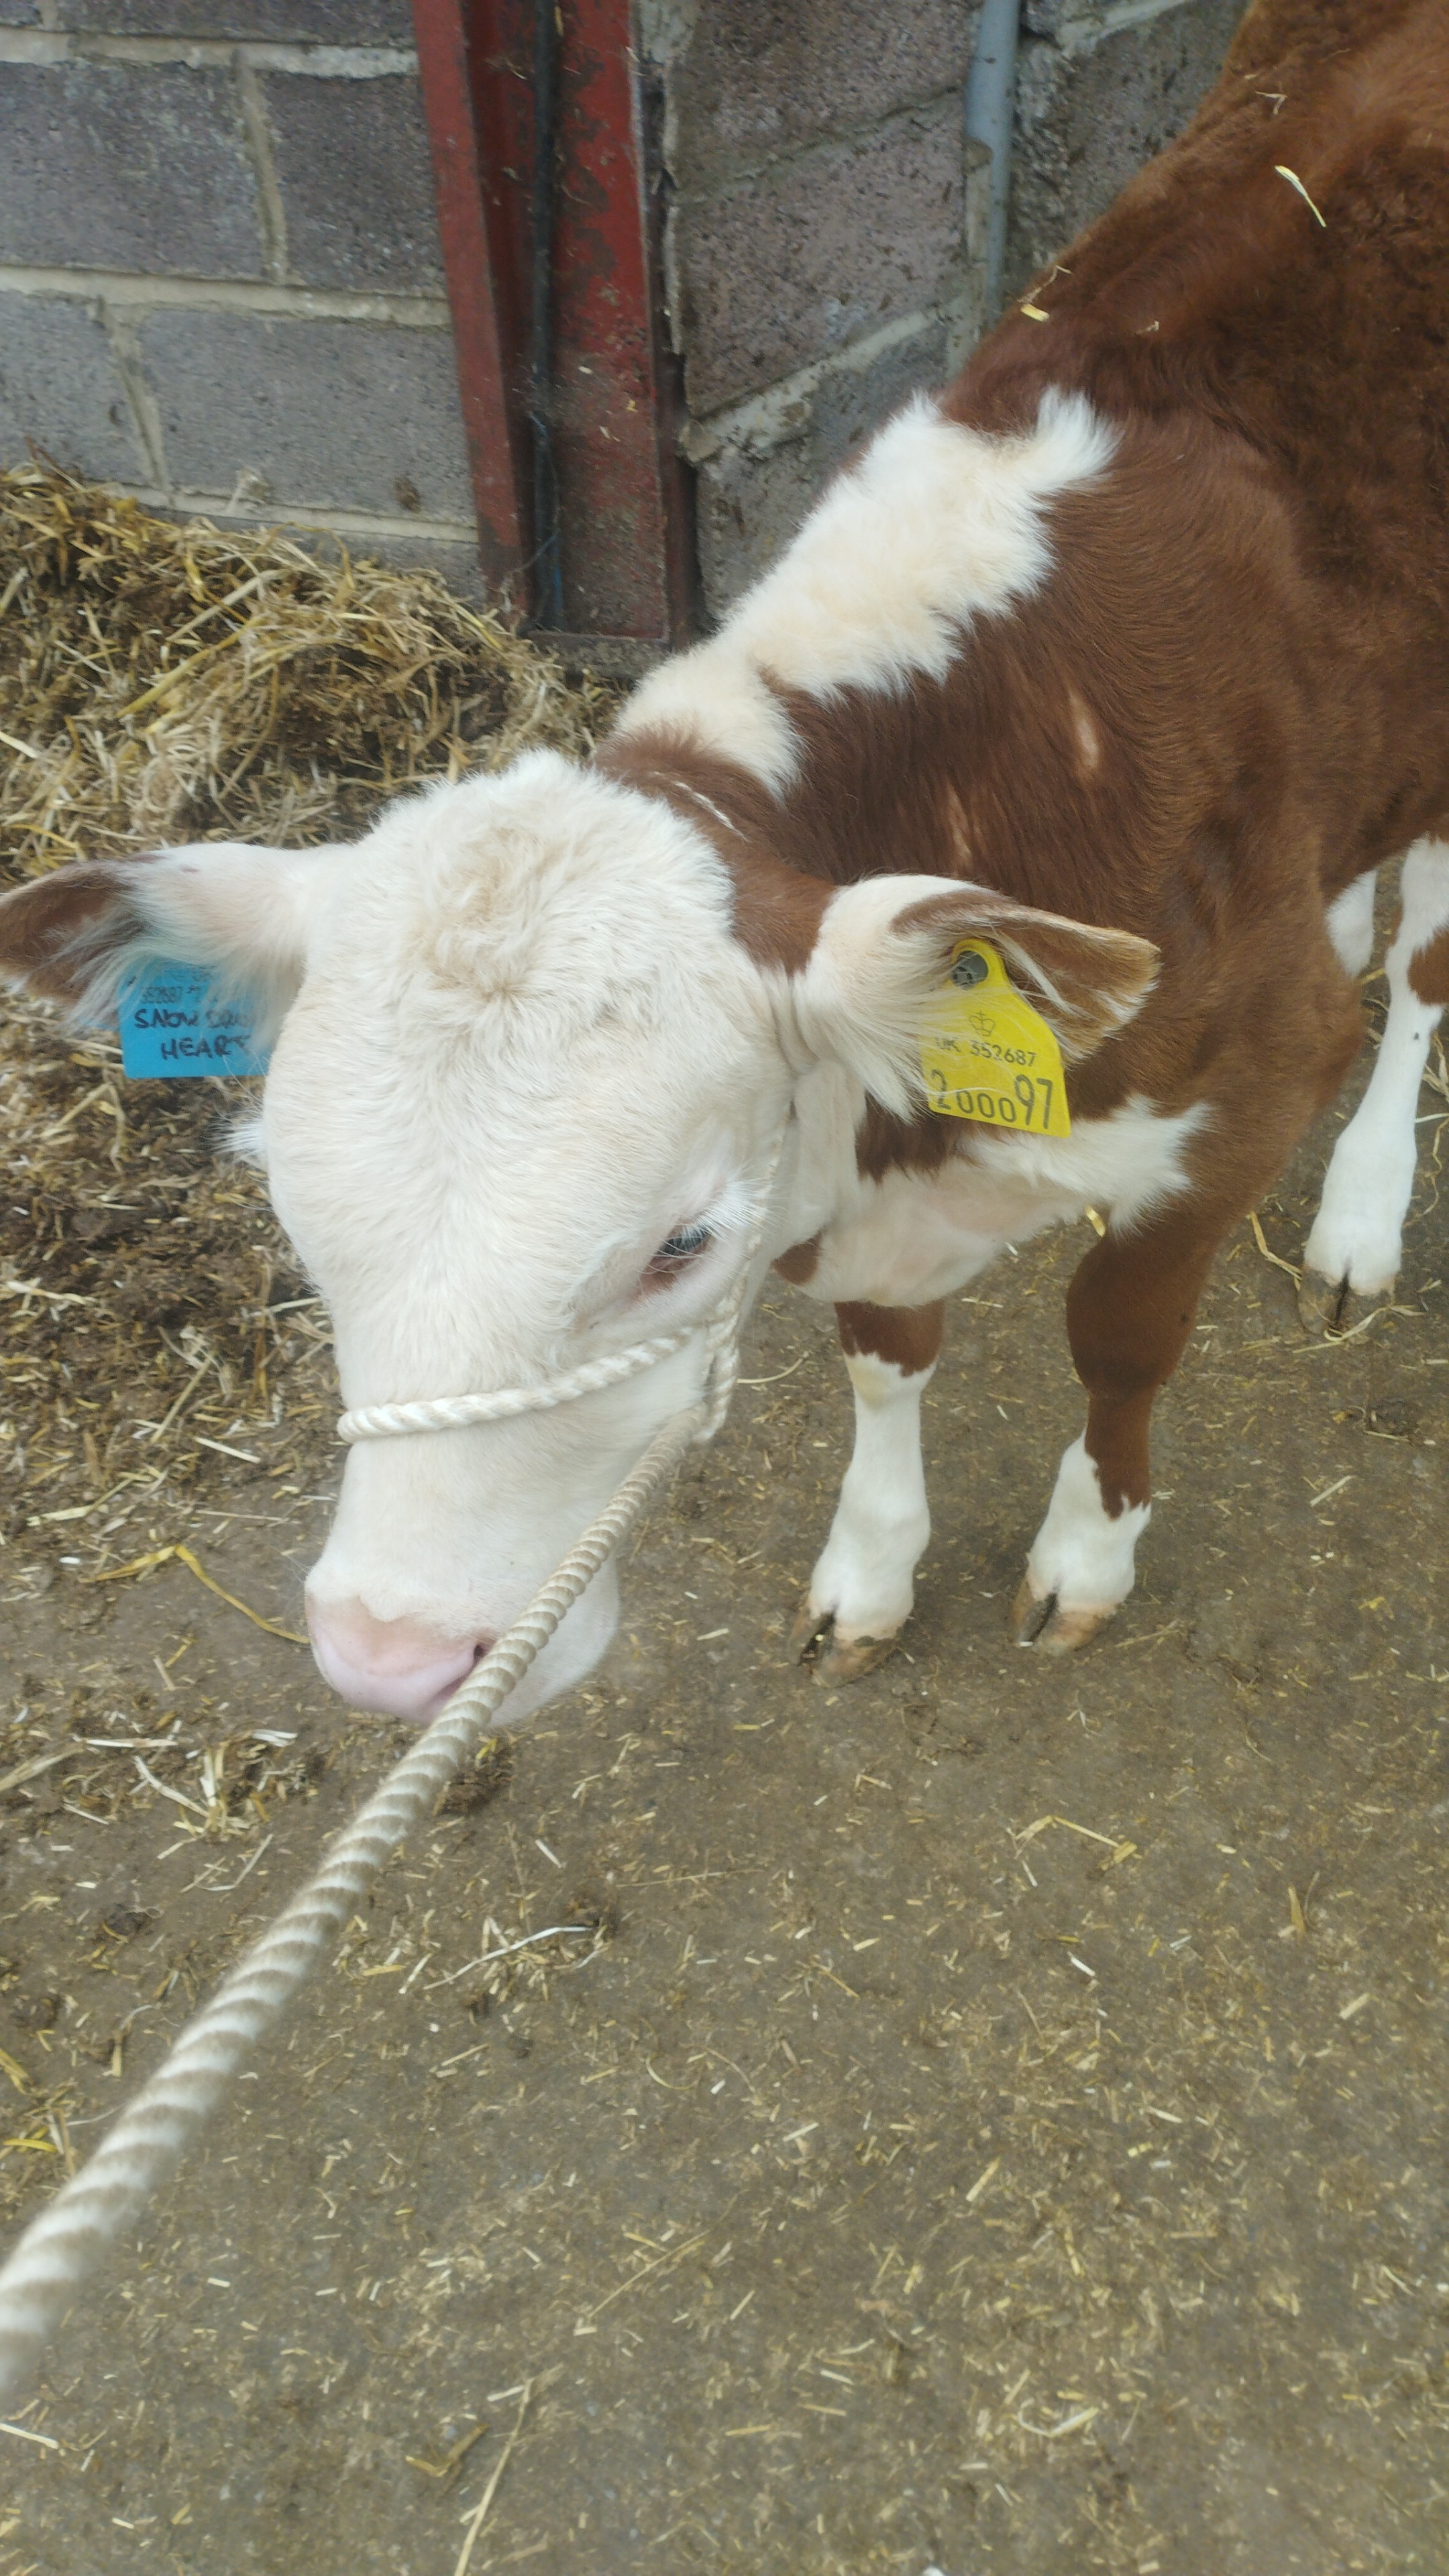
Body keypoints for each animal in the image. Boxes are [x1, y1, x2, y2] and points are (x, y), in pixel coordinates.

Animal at [2, 0, 1446, 1725]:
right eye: (292, 1211)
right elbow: (886, 1348)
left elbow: (1120, 1338)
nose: (388, 1657)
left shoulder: (1240, 1085)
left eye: (677, 1248)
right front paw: (870, 1568)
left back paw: (1362, 1207)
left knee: (1423, 962)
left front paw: (1084, 1558)